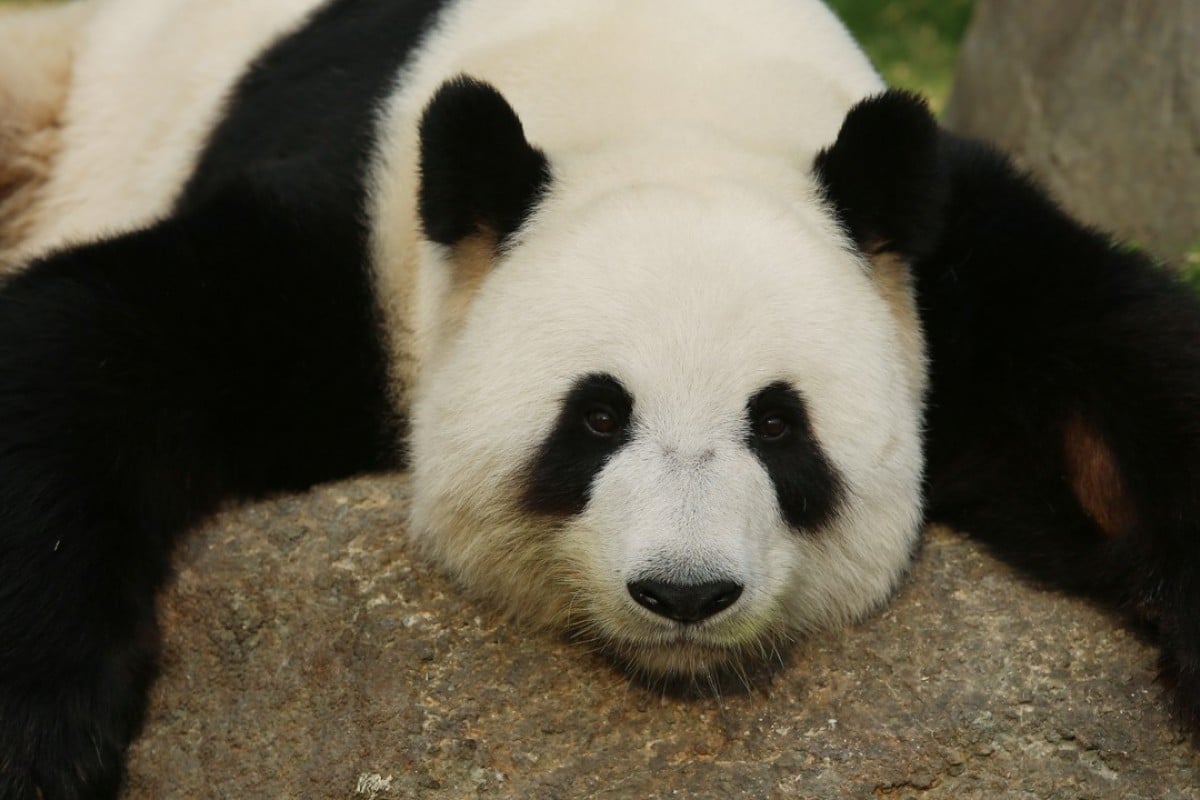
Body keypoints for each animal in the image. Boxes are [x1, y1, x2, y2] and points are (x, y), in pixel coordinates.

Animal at [0, 0, 1196, 797]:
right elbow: (90, 334)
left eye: (779, 423)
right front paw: (41, 739)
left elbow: (1116, 351)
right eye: (598, 415)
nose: (685, 591)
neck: (665, 97)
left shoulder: (939, 240)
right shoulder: (367, 231)